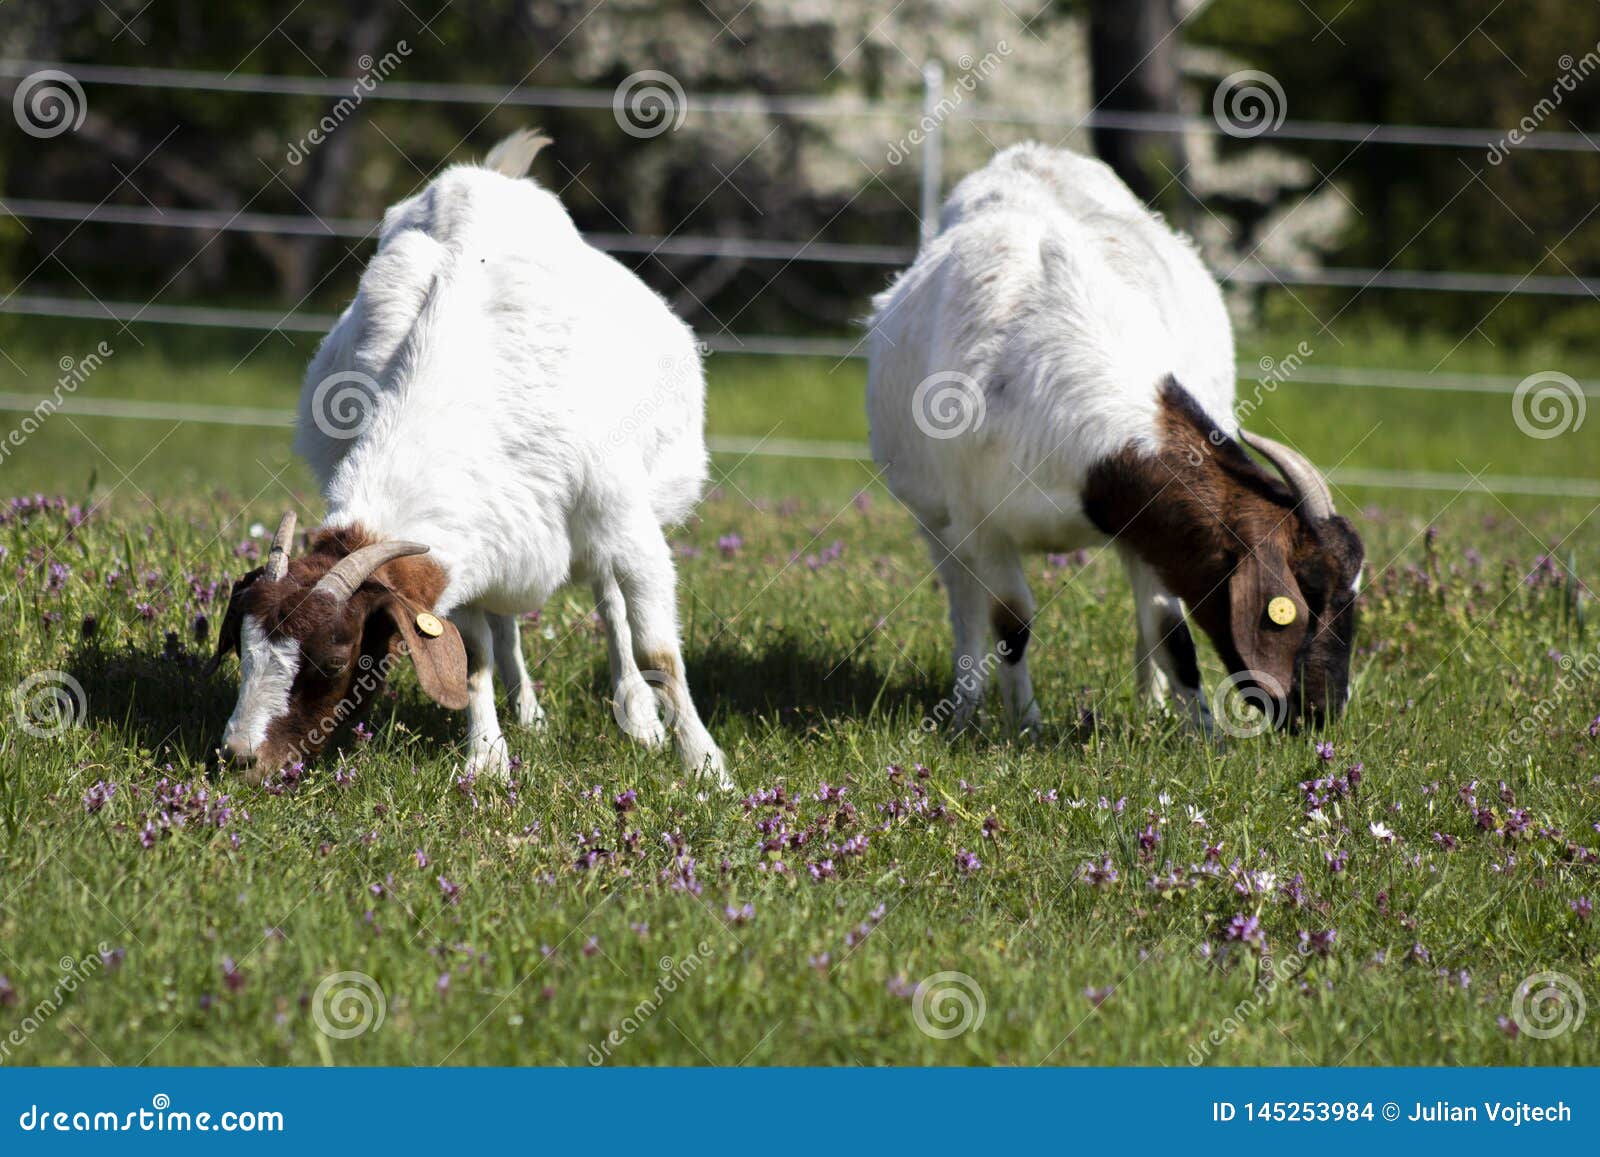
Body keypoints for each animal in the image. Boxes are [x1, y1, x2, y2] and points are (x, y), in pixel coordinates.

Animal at [210, 130, 727, 786]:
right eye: (242, 646)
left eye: (333, 658)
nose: (239, 757)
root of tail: (492, 175)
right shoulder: (461, 550)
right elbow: (473, 655)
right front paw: (487, 761)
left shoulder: (627, 522)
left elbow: (655, 647)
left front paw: (706, 769)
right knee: (509, 623)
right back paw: (529, 714)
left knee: (610, 601)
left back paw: (636, 718)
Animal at [866, 143, 1364, 735]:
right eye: (1306, 592)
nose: (1325, 713)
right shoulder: (982, 525)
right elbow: (1010, 625)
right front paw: (1026, 727)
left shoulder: (1149, 526)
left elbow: (1172, 634)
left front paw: (1205, 734)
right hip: (934, 520)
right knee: (962, 606)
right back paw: (964, 710)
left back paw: (1151, 706)